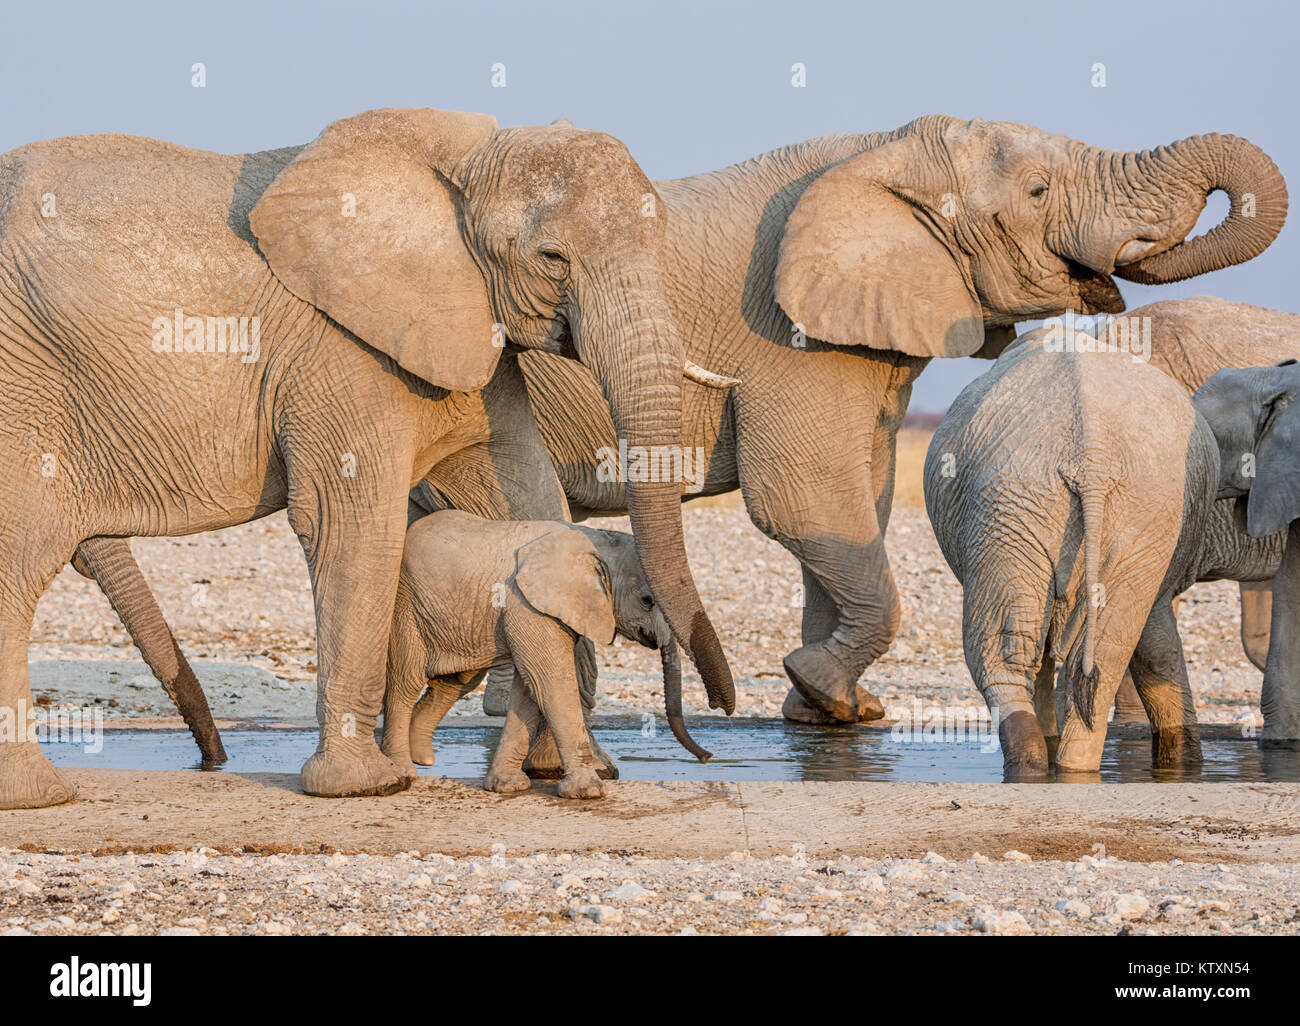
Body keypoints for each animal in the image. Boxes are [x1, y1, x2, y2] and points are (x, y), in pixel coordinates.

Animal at [381, 510, 711, 799]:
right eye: (647, 600)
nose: (707, 758)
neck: (598, 541)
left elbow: (529, 689)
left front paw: (508, 787)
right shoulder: (527, 605)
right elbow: (549, 680)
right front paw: (588, 793)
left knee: (455, 681)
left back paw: (422, 757)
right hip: (407, 603)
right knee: (407, 680)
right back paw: (405, 770)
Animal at [498, 115, 1287, 726]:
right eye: (1036, 192)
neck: (884, 151)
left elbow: (861, 503)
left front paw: (829, 709)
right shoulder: (784, 334)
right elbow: (803, 500)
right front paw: (820, 686)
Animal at [924, 327, 1286, 778]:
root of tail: (1090, 458)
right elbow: (1152, 639)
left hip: (1030, 501)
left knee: (1015, 651)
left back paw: (1045, 768)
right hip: (1041, 503)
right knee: (1083, 650)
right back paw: (1061, 770)